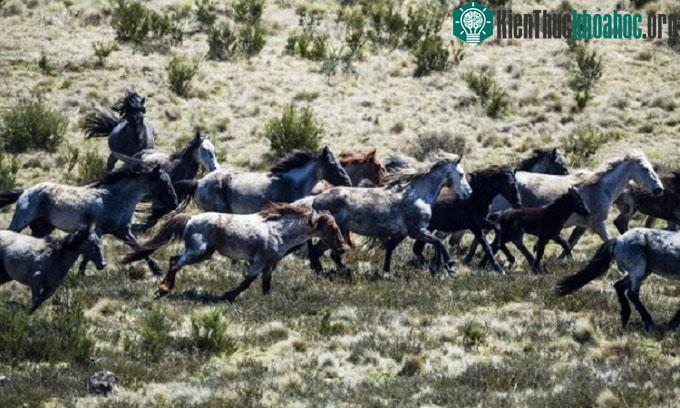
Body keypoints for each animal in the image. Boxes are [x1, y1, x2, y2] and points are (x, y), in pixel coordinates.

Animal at [0, 158, 178, 276]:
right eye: (164, 182)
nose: (175, 202)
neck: (114, 198)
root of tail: (25, 191)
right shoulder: (98, 230)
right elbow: (90, 251)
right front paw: (83, 272)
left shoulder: (122, 231)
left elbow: (139, 248)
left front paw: (157, 270)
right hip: (21, 221)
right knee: (10, 233)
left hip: (42, 227)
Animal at [298, 151, 472, 278]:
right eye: (461, 174)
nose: (468, 193)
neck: (417, 195)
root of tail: (315, 199)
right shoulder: (418, 231)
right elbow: (439, 243)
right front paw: (451, 267)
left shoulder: (401, 234)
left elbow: (390, 249)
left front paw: (387, 272)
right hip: (332, 233)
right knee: (317, 252)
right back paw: (327, 273)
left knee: (321, 253)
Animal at [488, 151, 664, 252]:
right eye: (646, 169)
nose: (659, 190)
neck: (600, 188)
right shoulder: (597, 224)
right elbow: (608, 241)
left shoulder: (582, 226)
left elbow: (570, 244)